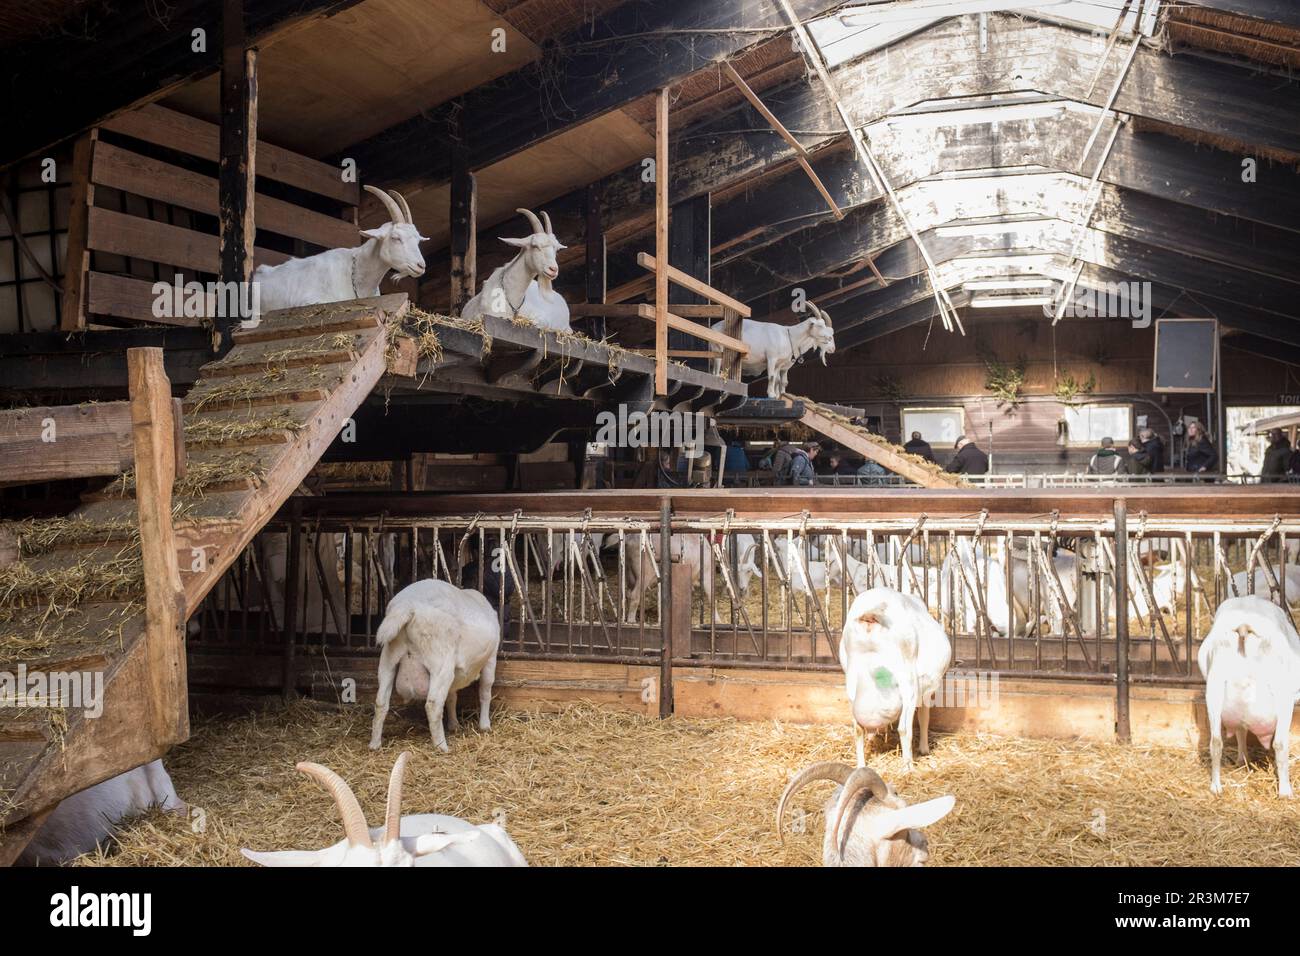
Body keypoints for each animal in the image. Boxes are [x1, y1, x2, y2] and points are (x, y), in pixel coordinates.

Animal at [369, 579, 500, 752]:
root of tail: (408, 604)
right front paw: (484, 725)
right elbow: (485, 691)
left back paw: (374, 744)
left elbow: (452, 697)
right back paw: (441, 746)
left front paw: (454, 724)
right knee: (433, 705)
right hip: (440, 661)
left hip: (389, 658)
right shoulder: (491, 658)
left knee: (380, 702)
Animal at [840, 588, 952, 770]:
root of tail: (872, 614)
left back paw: (861, 765)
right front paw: (924, 749)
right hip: (908, 680)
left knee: (857, 728)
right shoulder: (925, 691)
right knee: (904, 728)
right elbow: (924, 717)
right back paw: (908, 767)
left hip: (851, 678)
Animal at [1197, 596, 1300, 797]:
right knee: (1280, 744)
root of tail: (1244, 625)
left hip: (1213, 689)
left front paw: (1242, 760)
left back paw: (1216, 786)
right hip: (1283, 694)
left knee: (1216, 741)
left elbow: (1240, 729)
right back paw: (1285, 791)